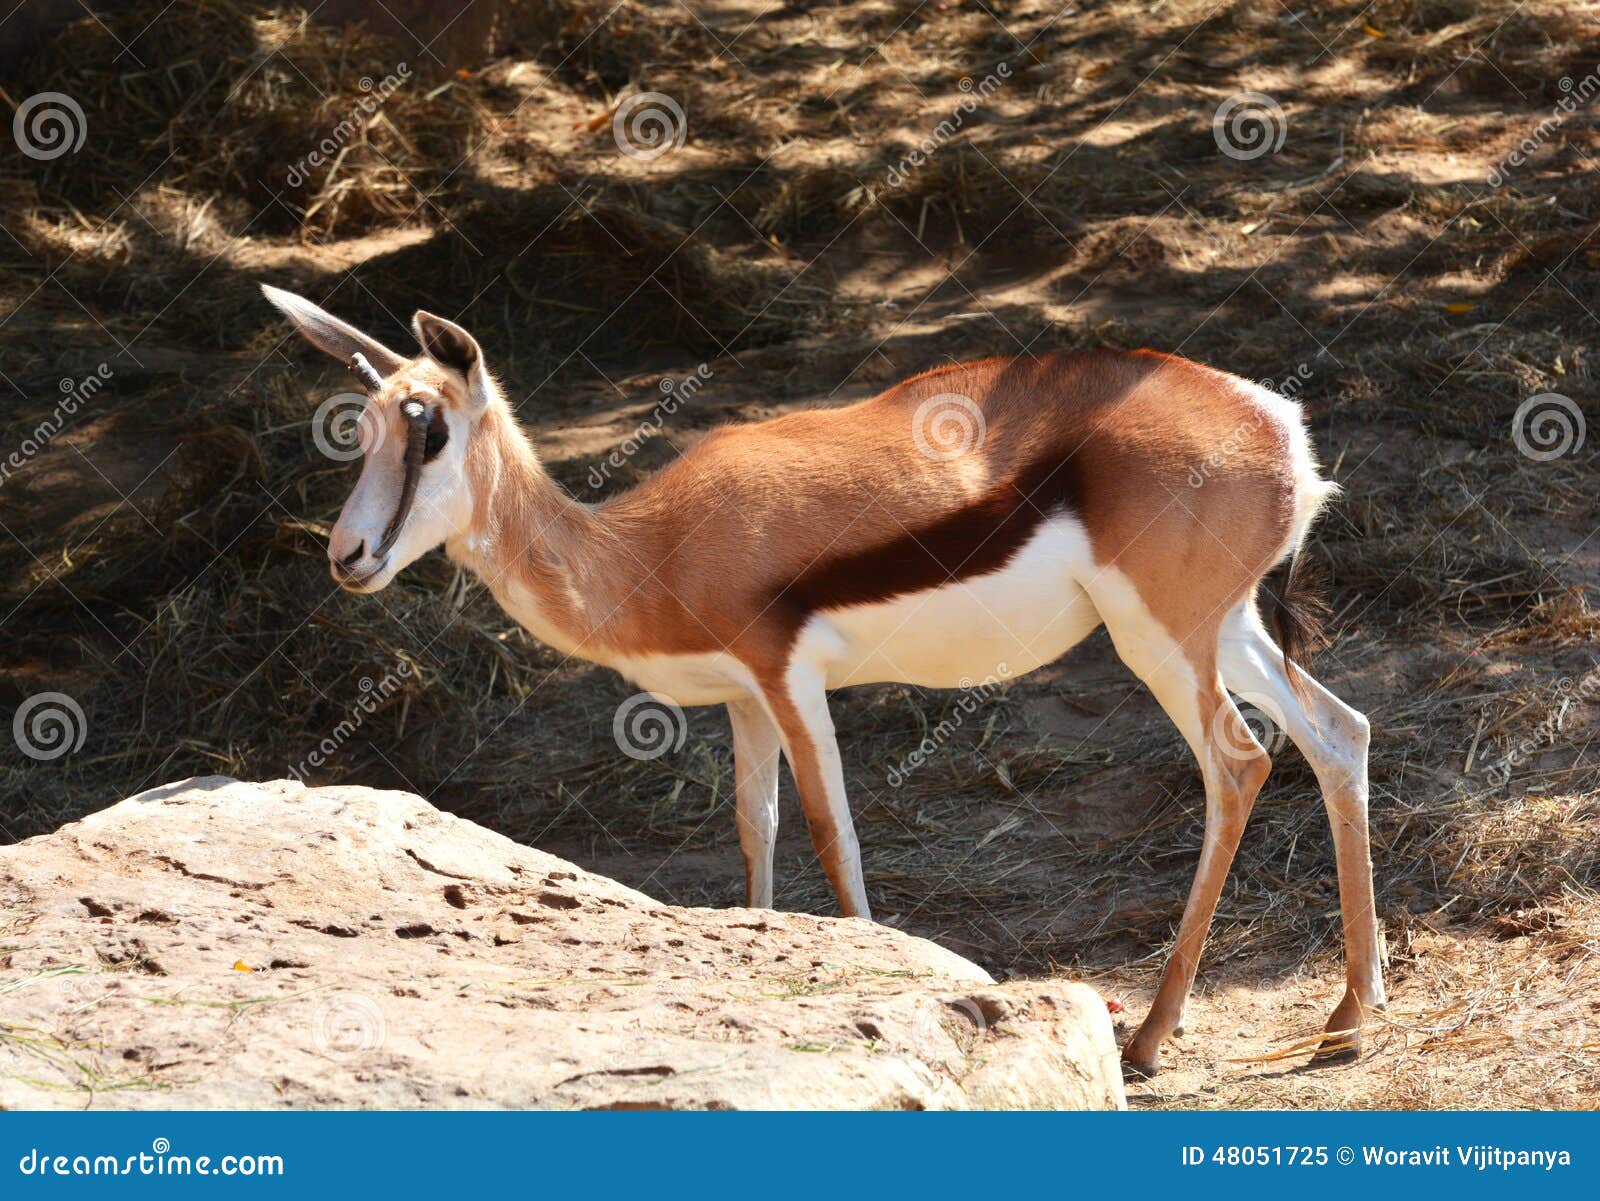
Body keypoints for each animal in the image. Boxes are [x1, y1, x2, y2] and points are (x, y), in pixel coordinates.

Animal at [261, 283, 1384, 1077]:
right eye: (359, 428)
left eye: (431, 426)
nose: (349, 555)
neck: (650, 546)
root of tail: (1275, 423)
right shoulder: (744, 700)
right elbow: (753, 829)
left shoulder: (789, 681)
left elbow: (830, 835)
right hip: (1223, 630)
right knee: (1341, 733)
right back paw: (1346, 1018)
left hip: (1161, 642)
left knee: (1240, 763)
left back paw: (1152, 1036)